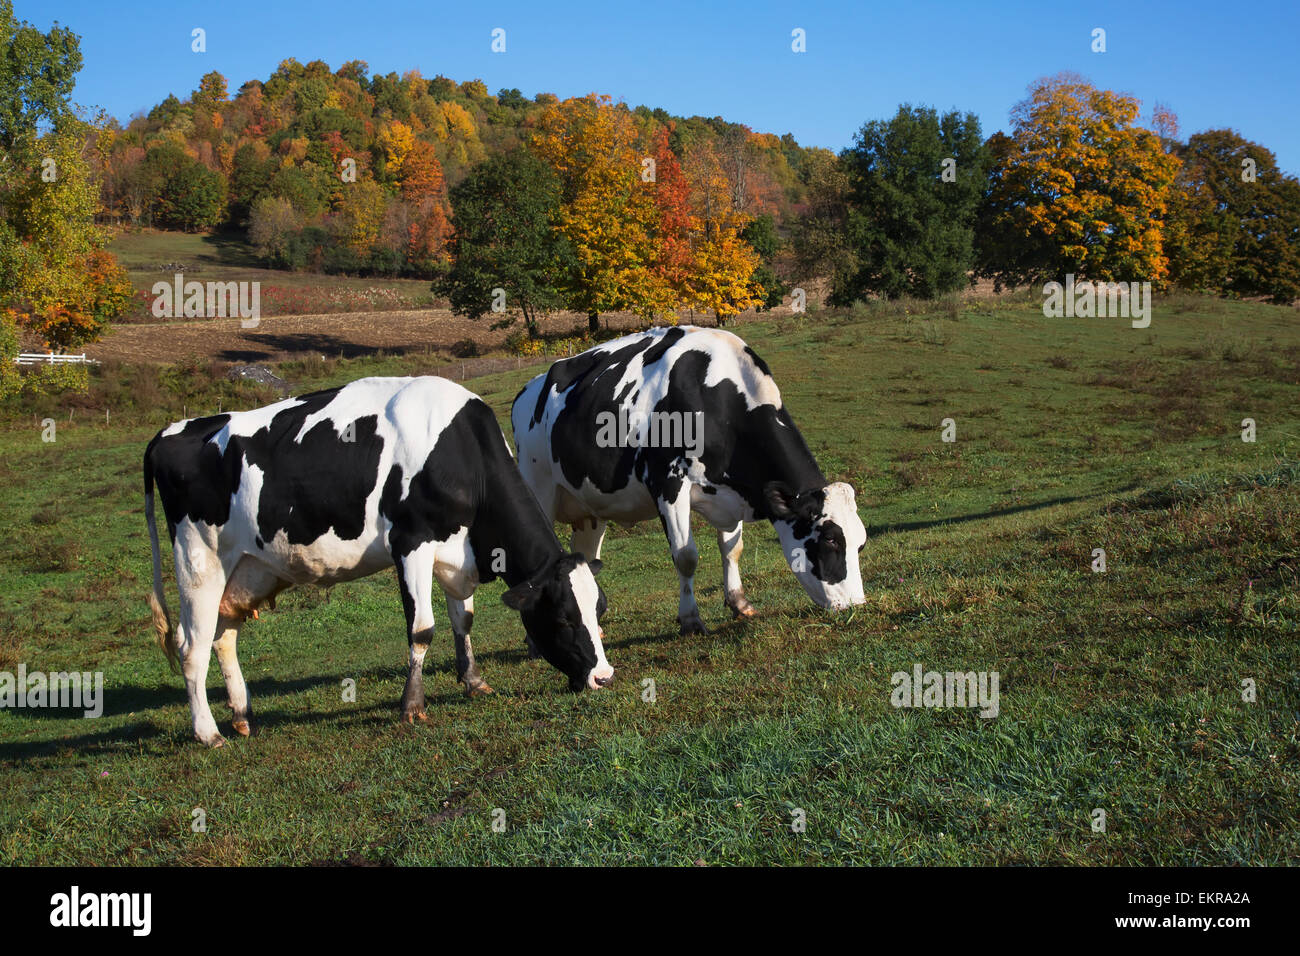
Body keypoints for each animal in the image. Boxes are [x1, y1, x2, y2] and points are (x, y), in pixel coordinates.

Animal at [144, 376, 613, 747]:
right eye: (564, 619)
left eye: (600, 611)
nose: (604, 677)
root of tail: (173, 430)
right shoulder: (410, 542)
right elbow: (422, 629)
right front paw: (412, 706)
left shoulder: (455, 552)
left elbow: (463, 619)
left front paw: (473, 681)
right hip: (198, 561)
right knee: (191, 647)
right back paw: (208, 733)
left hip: (245, 569)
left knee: (223, 637)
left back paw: (242, 716)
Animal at [511, 326, 867, 635]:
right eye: (830, 539)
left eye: (861, 542)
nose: (856, 605)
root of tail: (529, 389)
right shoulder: (668, 483)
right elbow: (686, 557)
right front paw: (690, 620)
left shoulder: (730, 491)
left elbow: (732, 549)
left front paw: (739, 603)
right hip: (537, 487)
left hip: (588, 507)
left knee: (585, 554)